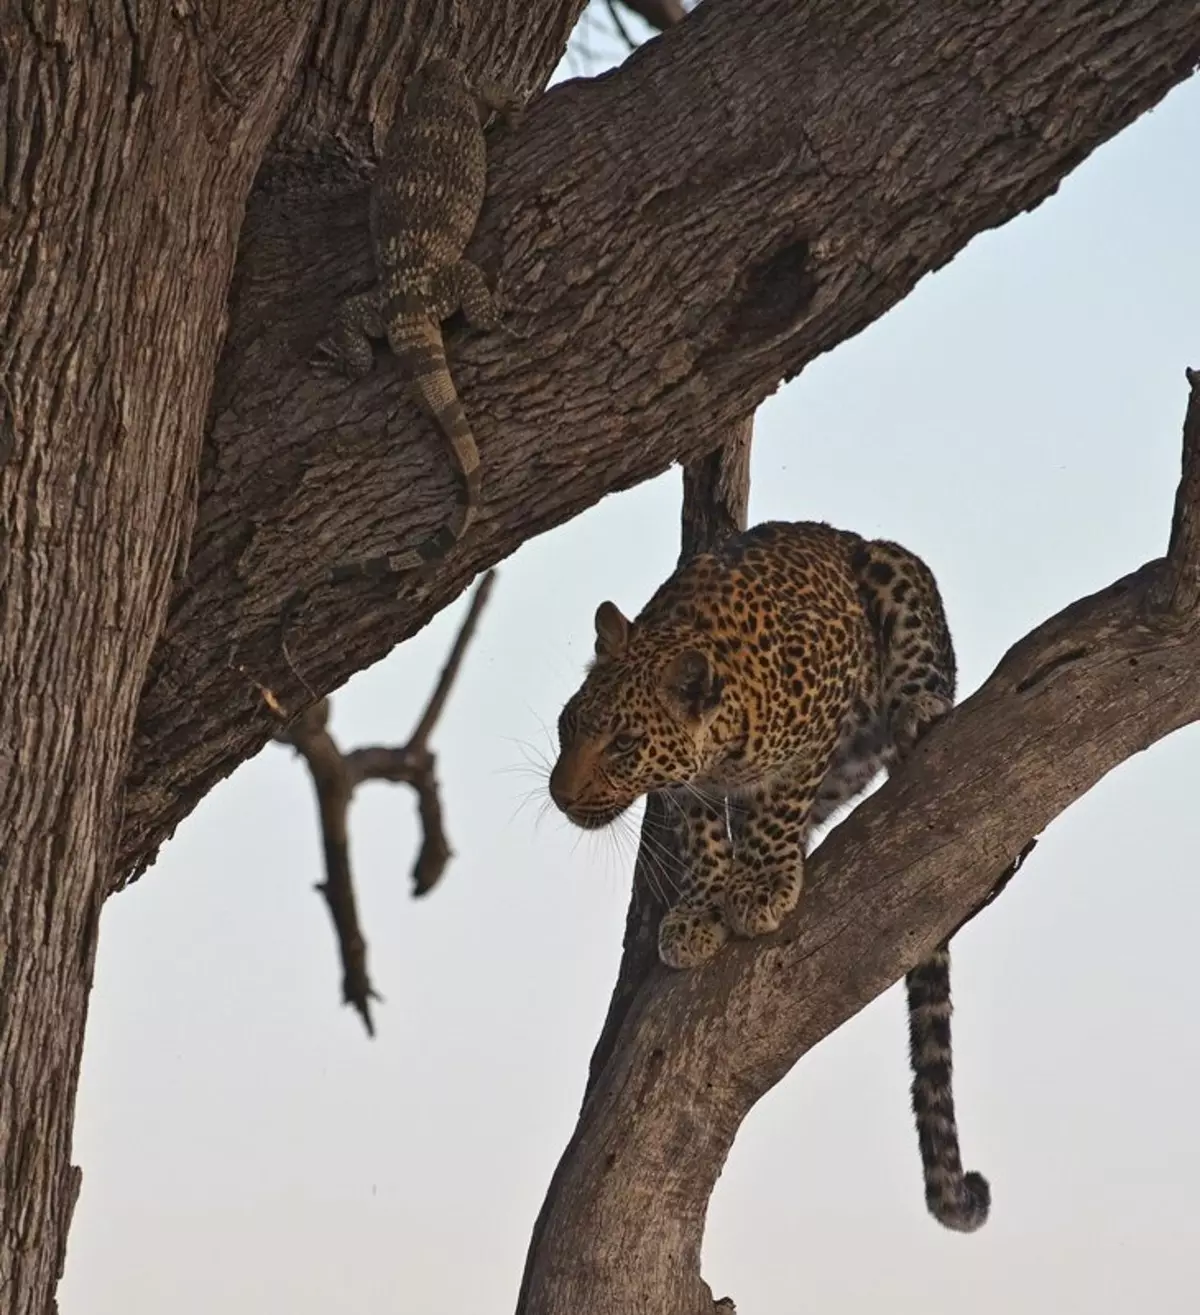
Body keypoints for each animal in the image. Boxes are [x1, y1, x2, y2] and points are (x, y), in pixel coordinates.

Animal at [546, 520, 988, 1230]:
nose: (560, 795)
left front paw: (757, 887)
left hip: (892, 569)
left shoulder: (816, 727)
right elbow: (702, 835)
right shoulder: (690, 788)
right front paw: (701, 910)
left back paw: (920, 710)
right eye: (568, 725)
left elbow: (779, 802)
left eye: (622, 745)